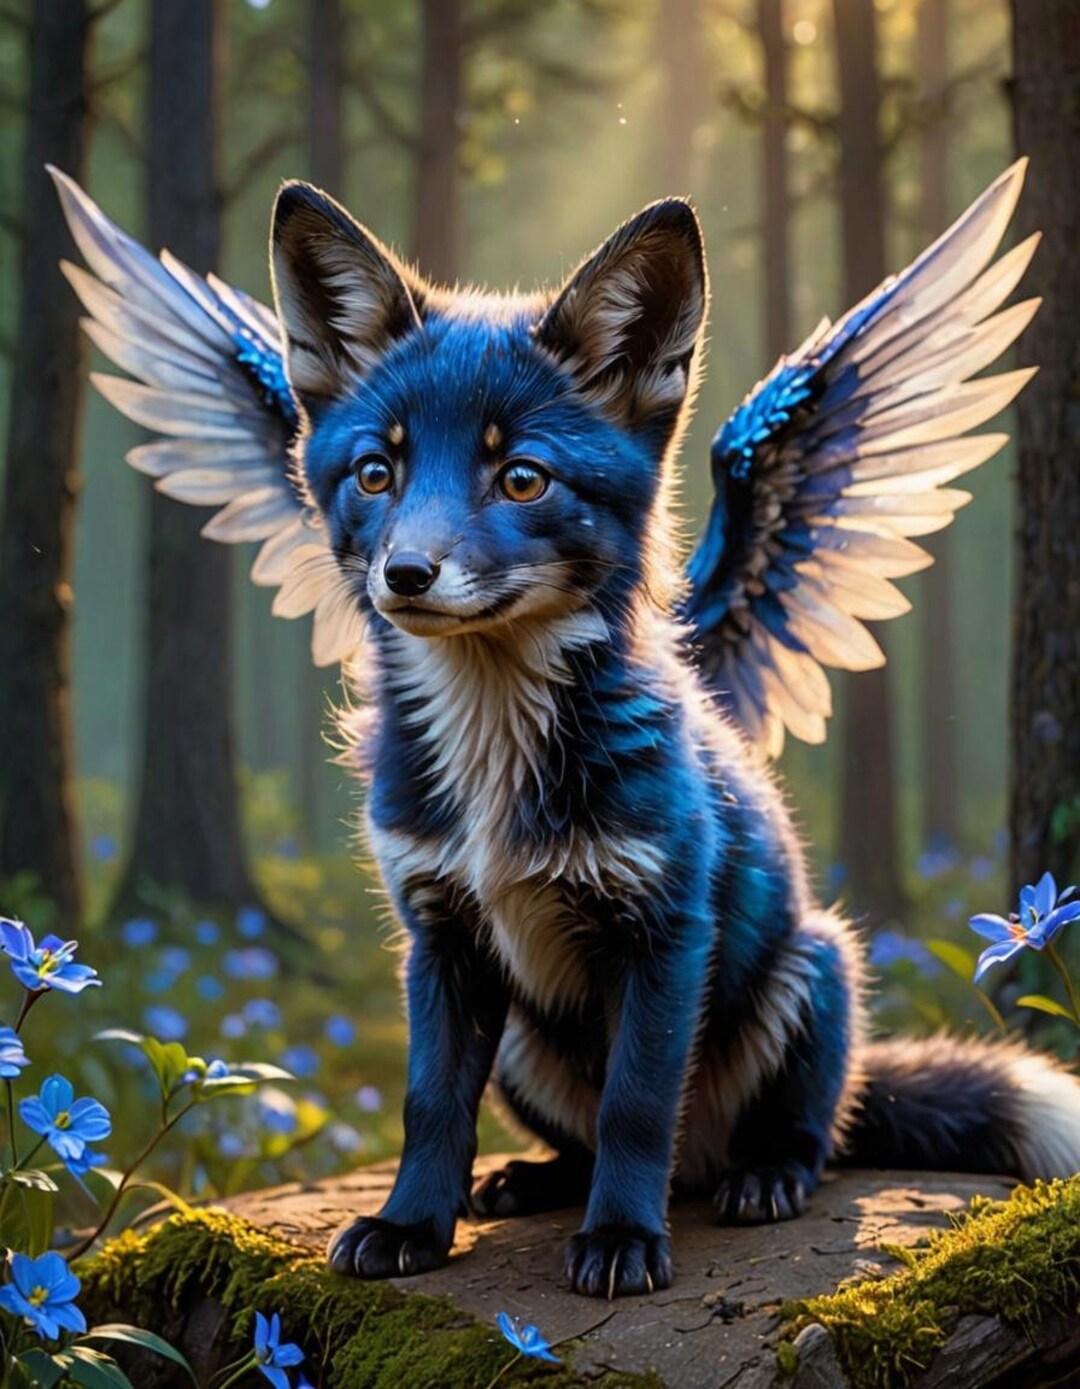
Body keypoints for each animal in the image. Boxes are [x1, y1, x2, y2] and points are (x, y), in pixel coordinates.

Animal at [50, 159, 1080, 1298]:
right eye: (376, 473)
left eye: (521, 477)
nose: (406, 573)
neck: (499, 762)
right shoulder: (439, 934)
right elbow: (427, 1106)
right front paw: (411, 1226)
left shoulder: (665, 929)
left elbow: (637, 1106)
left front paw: (623, 1240)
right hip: (524, 1044)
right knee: (580, 1141)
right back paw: (531, 1182)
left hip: (815, 967)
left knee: (808, 1130)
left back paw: (759, 1177)